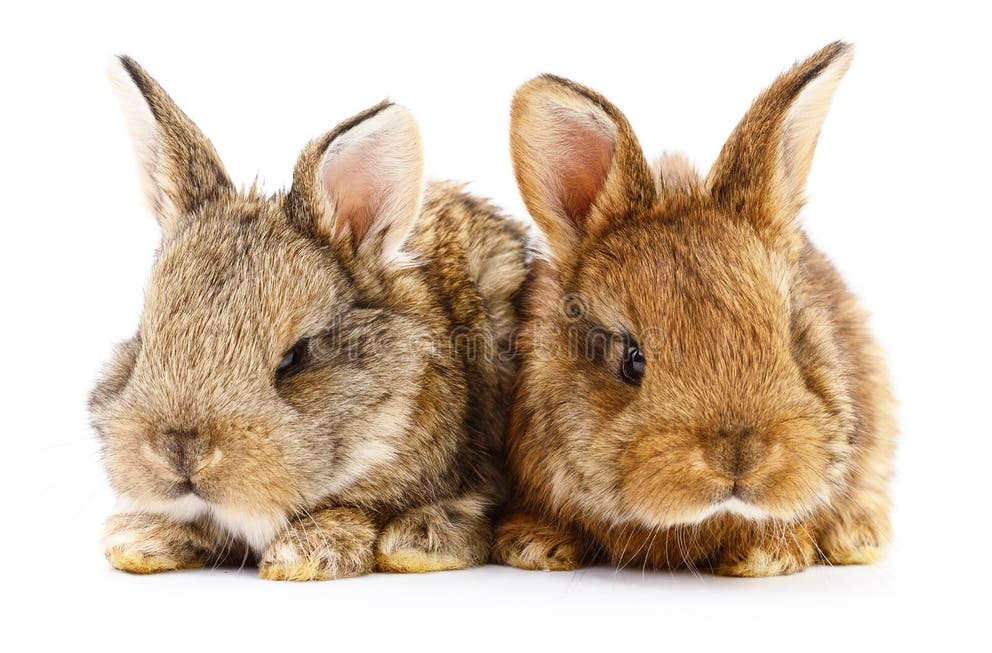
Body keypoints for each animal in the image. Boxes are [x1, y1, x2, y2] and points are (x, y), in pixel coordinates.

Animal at [491, 42, 897, 577]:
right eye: (632, 360)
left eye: (792, 338)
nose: (737, 457)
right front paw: (533, 546)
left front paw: (767, 556)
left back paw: (858, 536)